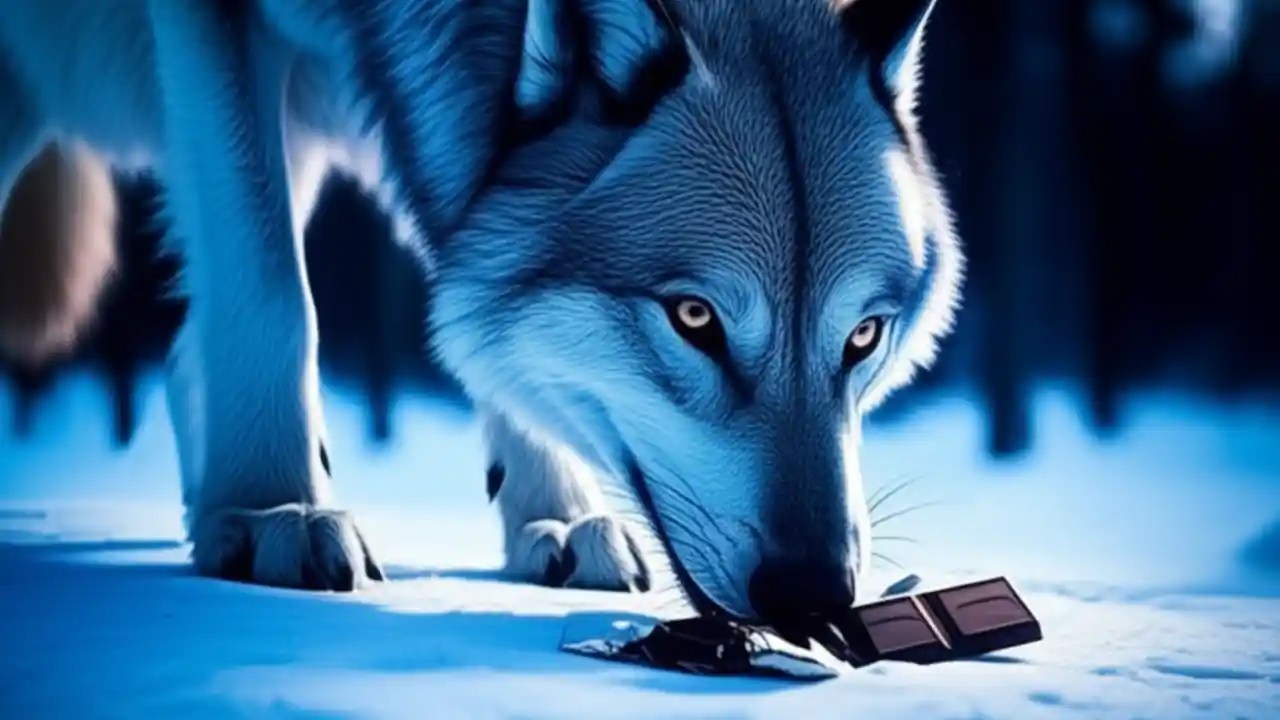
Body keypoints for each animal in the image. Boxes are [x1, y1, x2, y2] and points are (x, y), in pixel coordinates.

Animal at [0, 0, 961, 624]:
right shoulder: (213, 22)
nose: (816, 597)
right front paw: (275, 510)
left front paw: (558, 517)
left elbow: (490, 331)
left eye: (863, 336)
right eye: (695, 319)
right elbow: (274, 290)